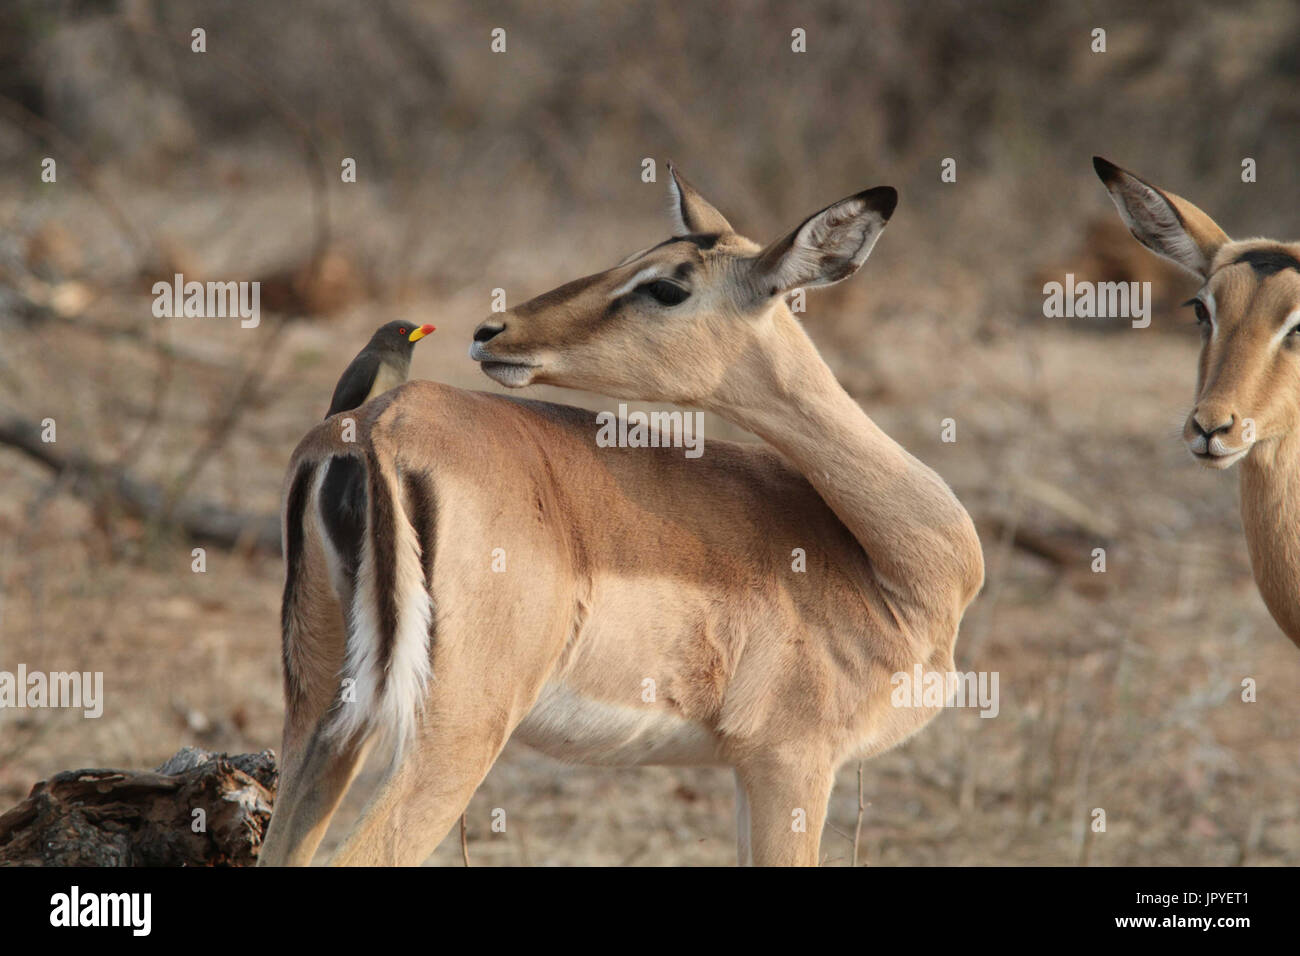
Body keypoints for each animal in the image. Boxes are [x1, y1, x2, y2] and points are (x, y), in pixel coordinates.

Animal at [259, 168, 984, 866]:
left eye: (664, 284)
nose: (492, 332)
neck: (891, 572)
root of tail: (373, 431)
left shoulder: (753, 771)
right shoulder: (793, 762)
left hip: (322, 716)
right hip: (454, 732)